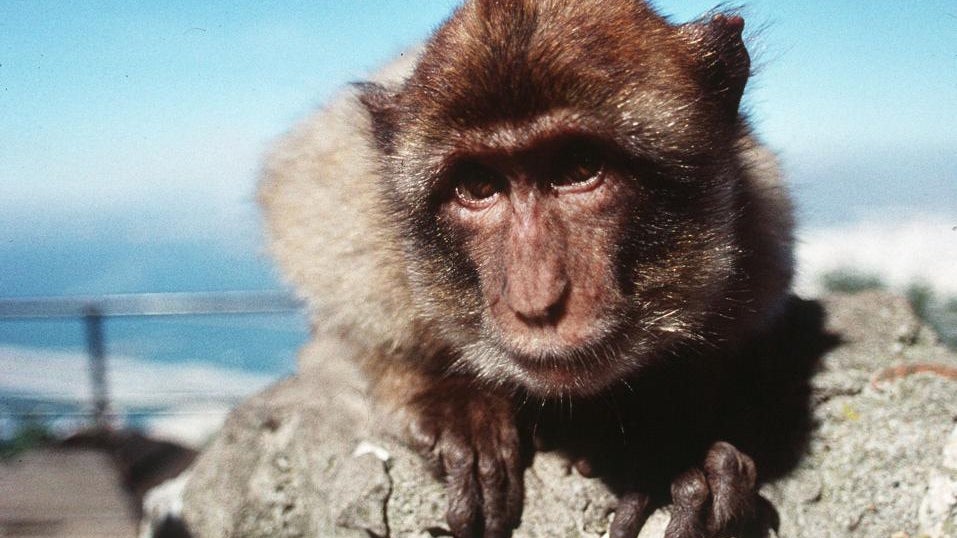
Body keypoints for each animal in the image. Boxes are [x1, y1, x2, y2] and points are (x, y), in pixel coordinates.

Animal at [260, 1, 794, 537]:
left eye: (580, 167)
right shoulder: (350, 201)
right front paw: (452, 398)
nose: (536, 301)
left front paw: (665, 440)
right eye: (477, 185)